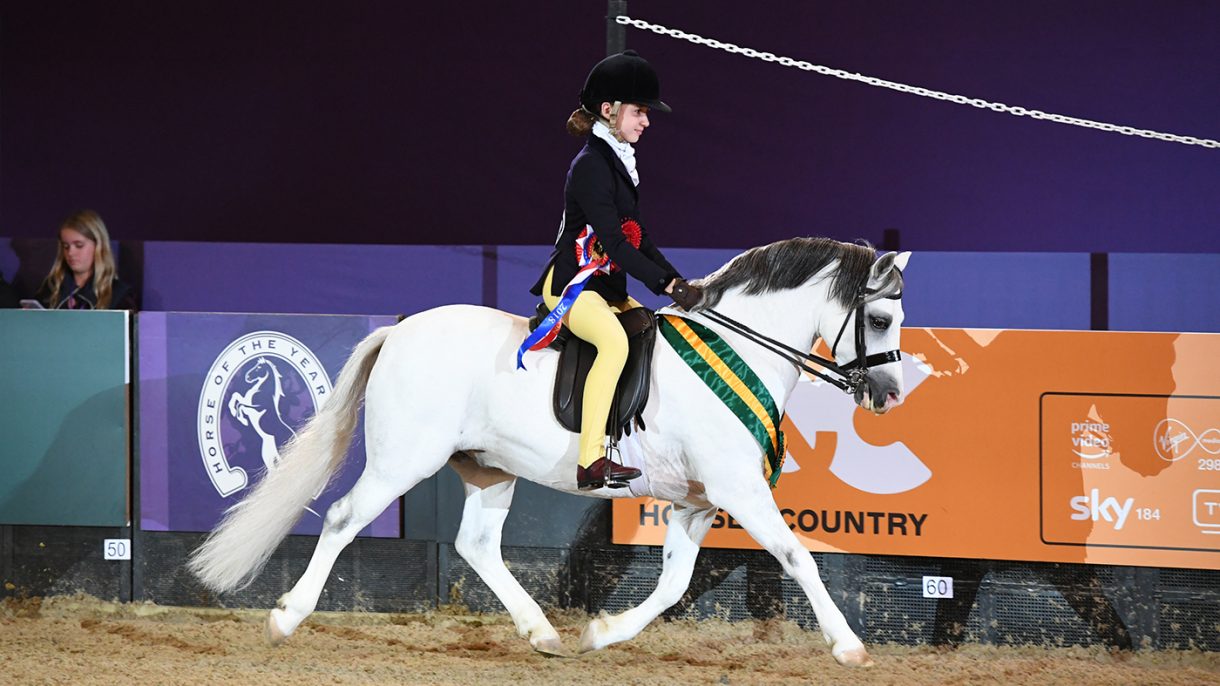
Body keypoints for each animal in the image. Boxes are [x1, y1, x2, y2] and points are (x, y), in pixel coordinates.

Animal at [188, 237, 910, 668]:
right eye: (878, 319)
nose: (887, 395)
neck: (738, 350)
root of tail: (400, 330)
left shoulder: (698, 503)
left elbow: (674, 582)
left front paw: (601, 633)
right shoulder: (738, 490)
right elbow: (797, 556)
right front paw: (849, 646)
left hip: (490, 469)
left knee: (477, 544)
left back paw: (542, 633)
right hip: (404, 460)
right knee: (342, 520)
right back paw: (286, 618)